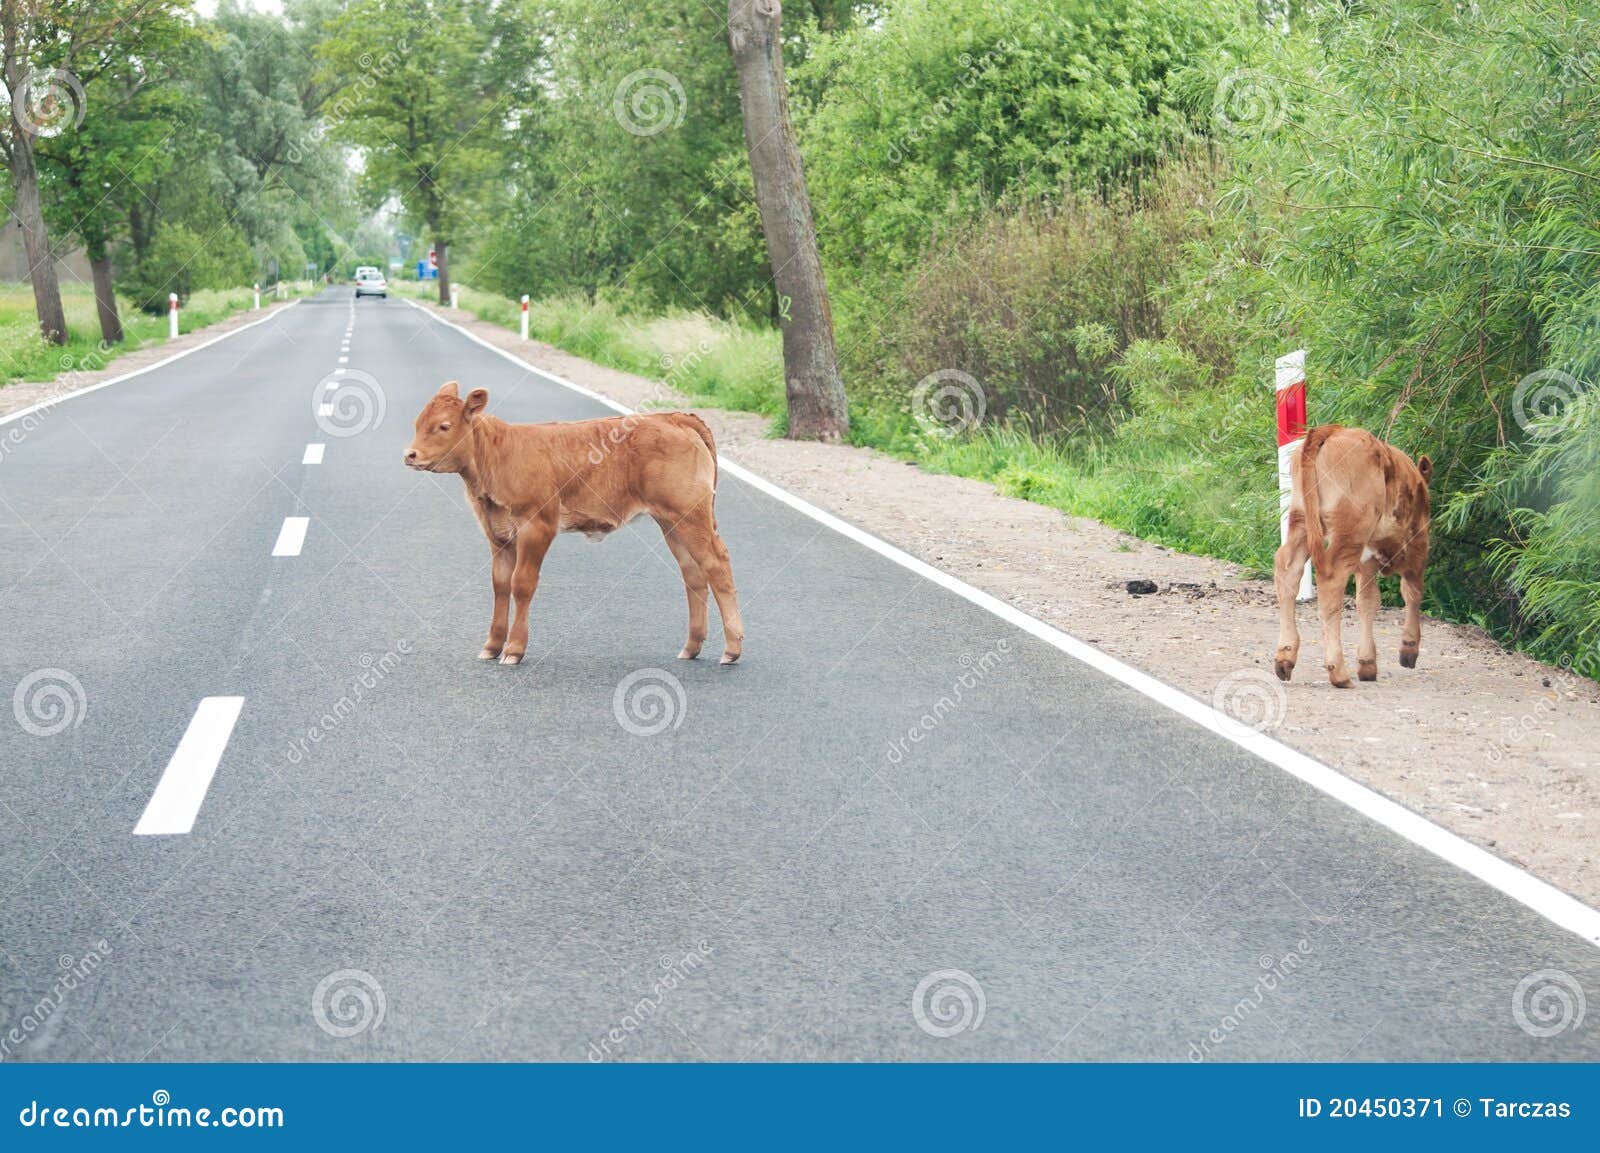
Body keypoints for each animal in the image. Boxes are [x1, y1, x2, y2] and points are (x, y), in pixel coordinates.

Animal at [405, 382, 743, 666]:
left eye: (444, 426)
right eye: (417, 423)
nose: (410, 455)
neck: (497, 458)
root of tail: (672, 417)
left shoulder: (537, 526)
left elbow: (521, 583)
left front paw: (514, 649)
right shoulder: (497, 533)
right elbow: (500, 584)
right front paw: (491, 646)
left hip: (691, 515)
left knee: (717, 565)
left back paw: (732, 649)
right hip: (671, 522)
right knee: (693, 573)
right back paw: (691, 647)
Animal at [1273, 425, 1432, 688]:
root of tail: (1330, 431)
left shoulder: (1366, 561)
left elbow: (1367, 600)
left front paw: (1367, 663)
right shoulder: (1417, 545)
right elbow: (1412, 592)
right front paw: (1409, 647)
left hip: (1301, 520)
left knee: (1287, 569)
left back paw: (1285, 658)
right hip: (1349, 534)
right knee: (1331, 581)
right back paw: (1338, 671)